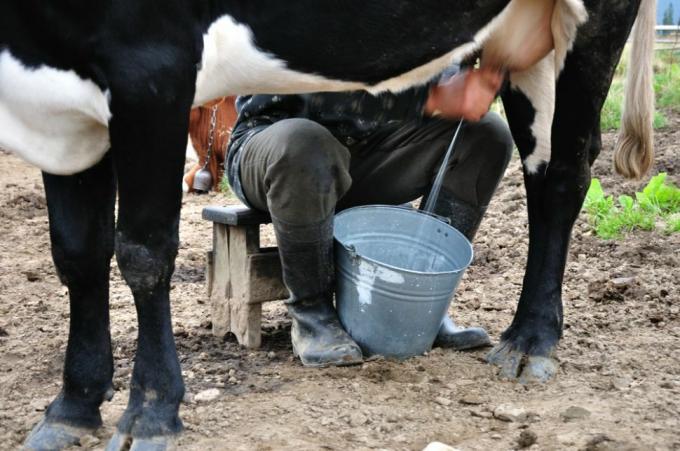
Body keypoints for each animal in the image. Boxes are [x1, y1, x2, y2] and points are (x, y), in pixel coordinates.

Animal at [1, 0, 660, 450]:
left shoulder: (152, 70)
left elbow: (141, 252)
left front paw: (152, 412)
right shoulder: (58, 107)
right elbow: (77, 253)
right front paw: (72, 406)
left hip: (591, 22)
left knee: (565, 172)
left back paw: (530, 341)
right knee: (531, 162)